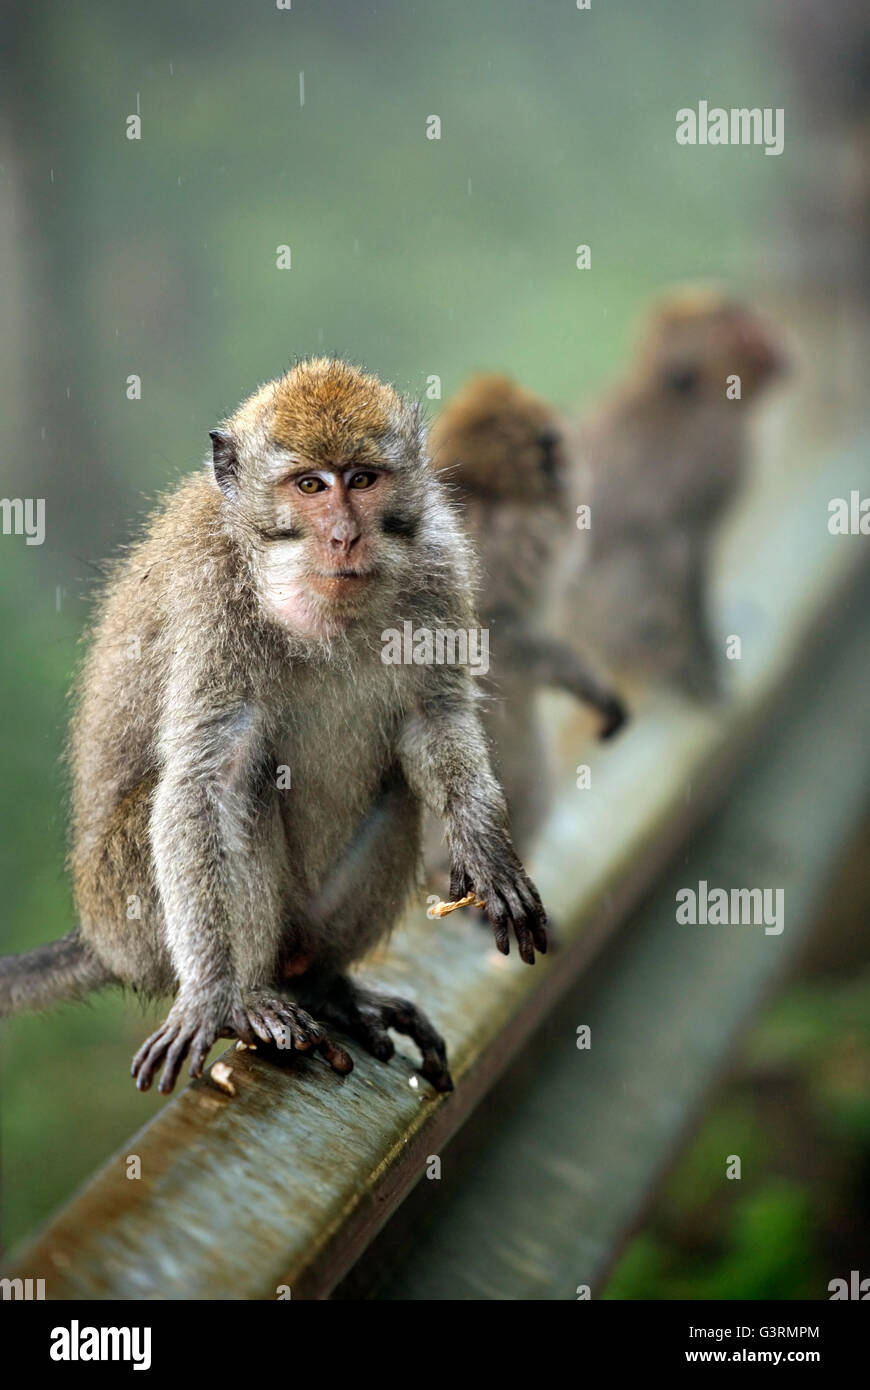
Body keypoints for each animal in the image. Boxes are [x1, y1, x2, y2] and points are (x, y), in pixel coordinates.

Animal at [0, 358, 547, 1097]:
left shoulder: (440, 559)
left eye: (362, 479)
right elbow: (204, 782)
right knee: (245, 784)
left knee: (398, 788)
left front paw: (487, 851)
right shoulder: (211, 596)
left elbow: (435, 717)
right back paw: (248, 1002)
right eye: (309, 486)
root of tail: (97, 937)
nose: (345, 537)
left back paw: (326, 987)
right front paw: (210, 998)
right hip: (128, 910)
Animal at [559, 289, 788, 700]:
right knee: (659, 553)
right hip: (594, 621)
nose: (770, 331)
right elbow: (685, 546)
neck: (683, 404)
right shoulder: (718, 452)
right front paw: (701, 655)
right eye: (738, 333)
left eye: (741, 312)